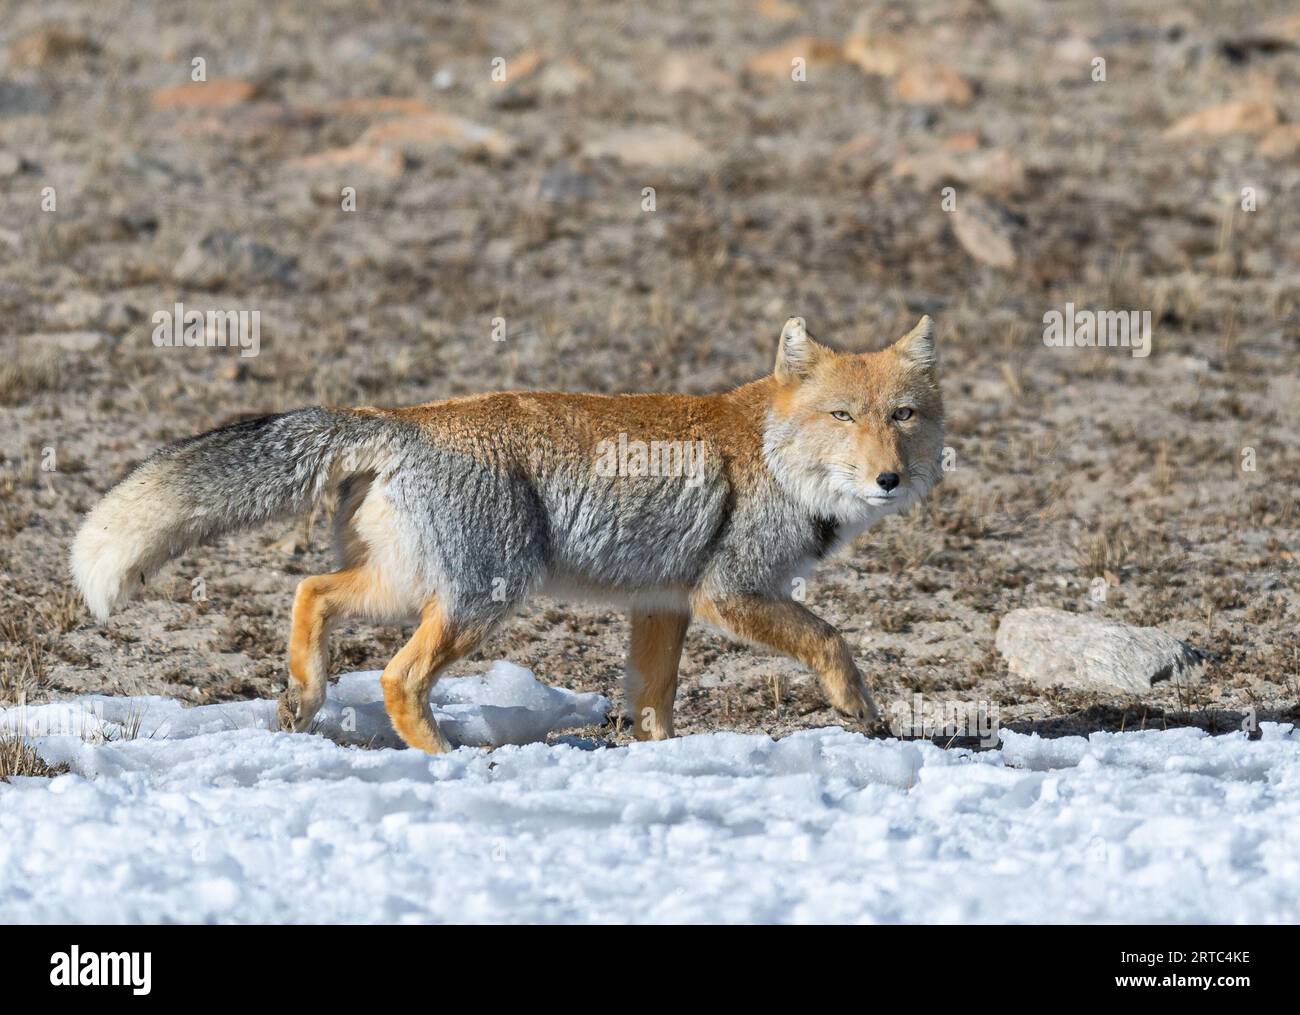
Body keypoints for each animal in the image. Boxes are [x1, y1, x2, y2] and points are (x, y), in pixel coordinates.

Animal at [71, 315, 944, 753]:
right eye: (843, 416)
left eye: (902, 416)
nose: (888, 478)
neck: (769, 450)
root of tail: (401, 418)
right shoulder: (727, 593)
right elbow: (830, 638)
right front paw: (861, 711)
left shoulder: (664, 604)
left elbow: (652, 703)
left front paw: (662, 765)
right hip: (480, 599)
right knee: (397, 678)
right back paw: (445, 761)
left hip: (402, 585)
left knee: (310, 590)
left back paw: (302, 696)